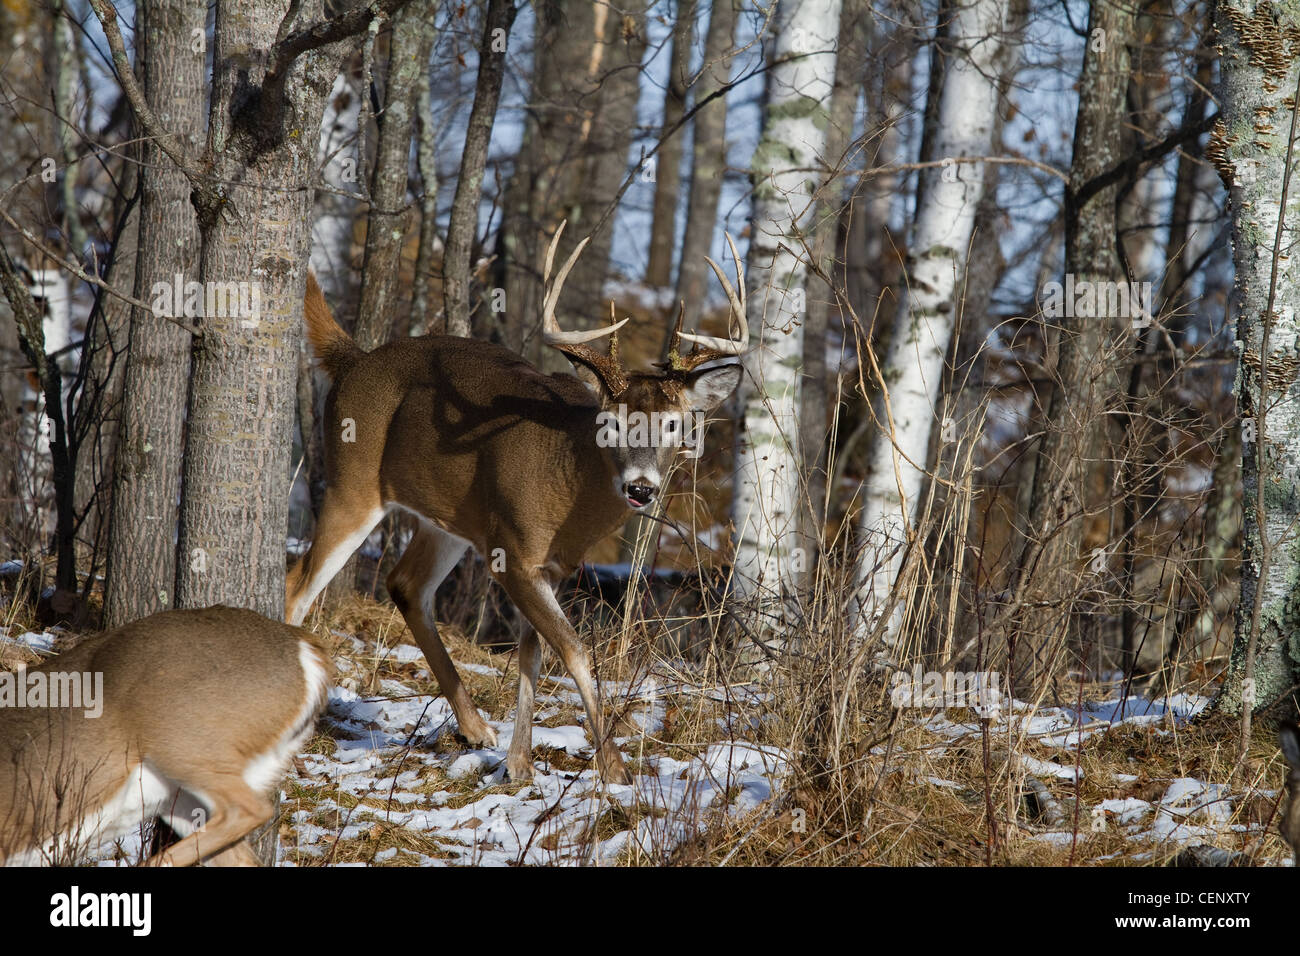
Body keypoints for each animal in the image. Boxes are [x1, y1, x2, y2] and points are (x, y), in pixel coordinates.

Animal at [287, 222, 749, 784]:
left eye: (676, 424)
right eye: (612, 422)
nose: (640, 488)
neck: (568, 490)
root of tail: (354, 360)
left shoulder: (549, 565)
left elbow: (531, 653)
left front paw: (519, 763)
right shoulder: (512, 553)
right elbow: (571, 648)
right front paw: (614, 768)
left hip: (449, 518)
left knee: (404, 583)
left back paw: (475, 728)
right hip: (353, 485)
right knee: (297, 585)